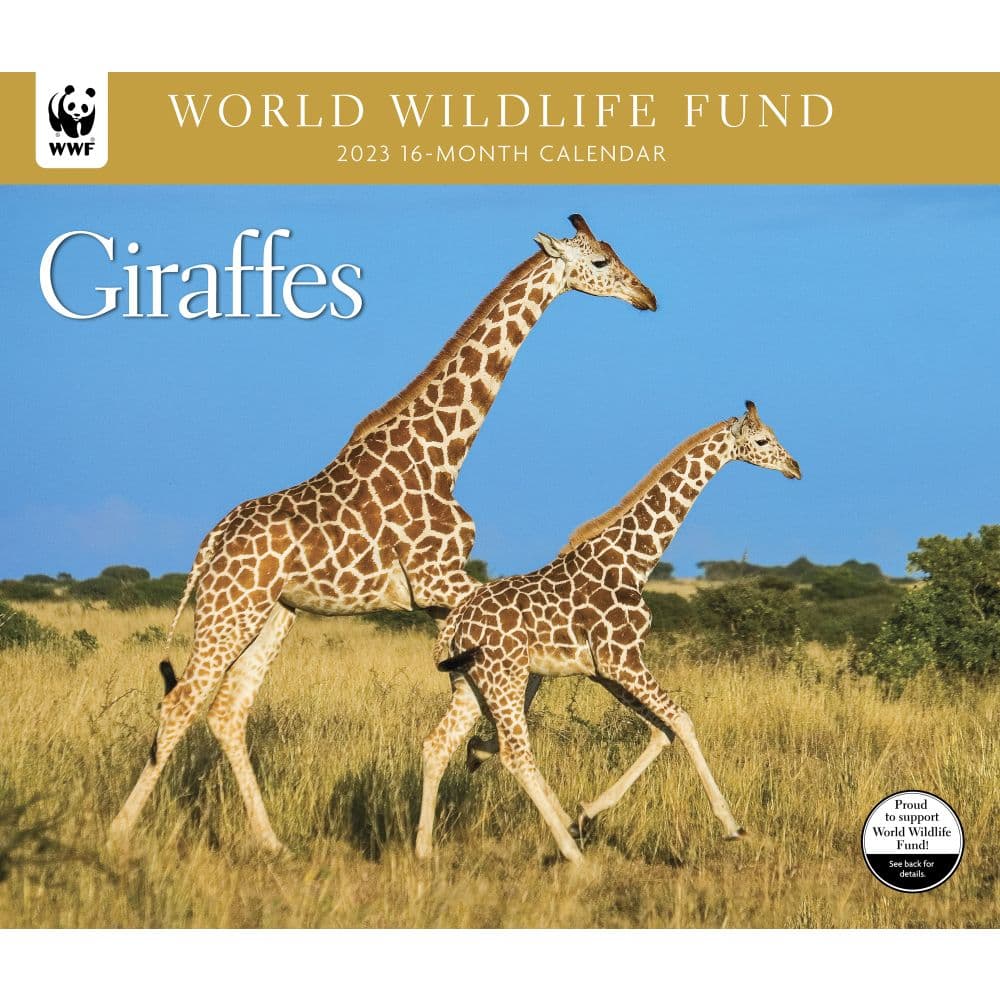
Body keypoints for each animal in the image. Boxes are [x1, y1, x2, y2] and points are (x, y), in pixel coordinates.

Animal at [108, 214, 656, 855]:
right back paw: (119, 833)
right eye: (599, 262)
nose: (647, 297)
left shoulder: (440, 595)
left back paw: (272, 843)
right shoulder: (438, 580)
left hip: (273, 613)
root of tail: (210, 544)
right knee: (181, 703)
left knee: (227, 710)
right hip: (231, 606)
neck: (445, 455)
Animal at [417, 401, 800, 863]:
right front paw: (731, 825)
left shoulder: (605, 669)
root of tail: (455, 623)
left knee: (437, 744)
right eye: (762, 440)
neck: (633, 561)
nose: (795, 467)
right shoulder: (623, 659)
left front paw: (585, 814)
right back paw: (574, 856)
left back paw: (425, 849)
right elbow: (683, 721)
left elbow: (661, 732)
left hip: (470, 682)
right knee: (515, 753)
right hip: (503, 676)